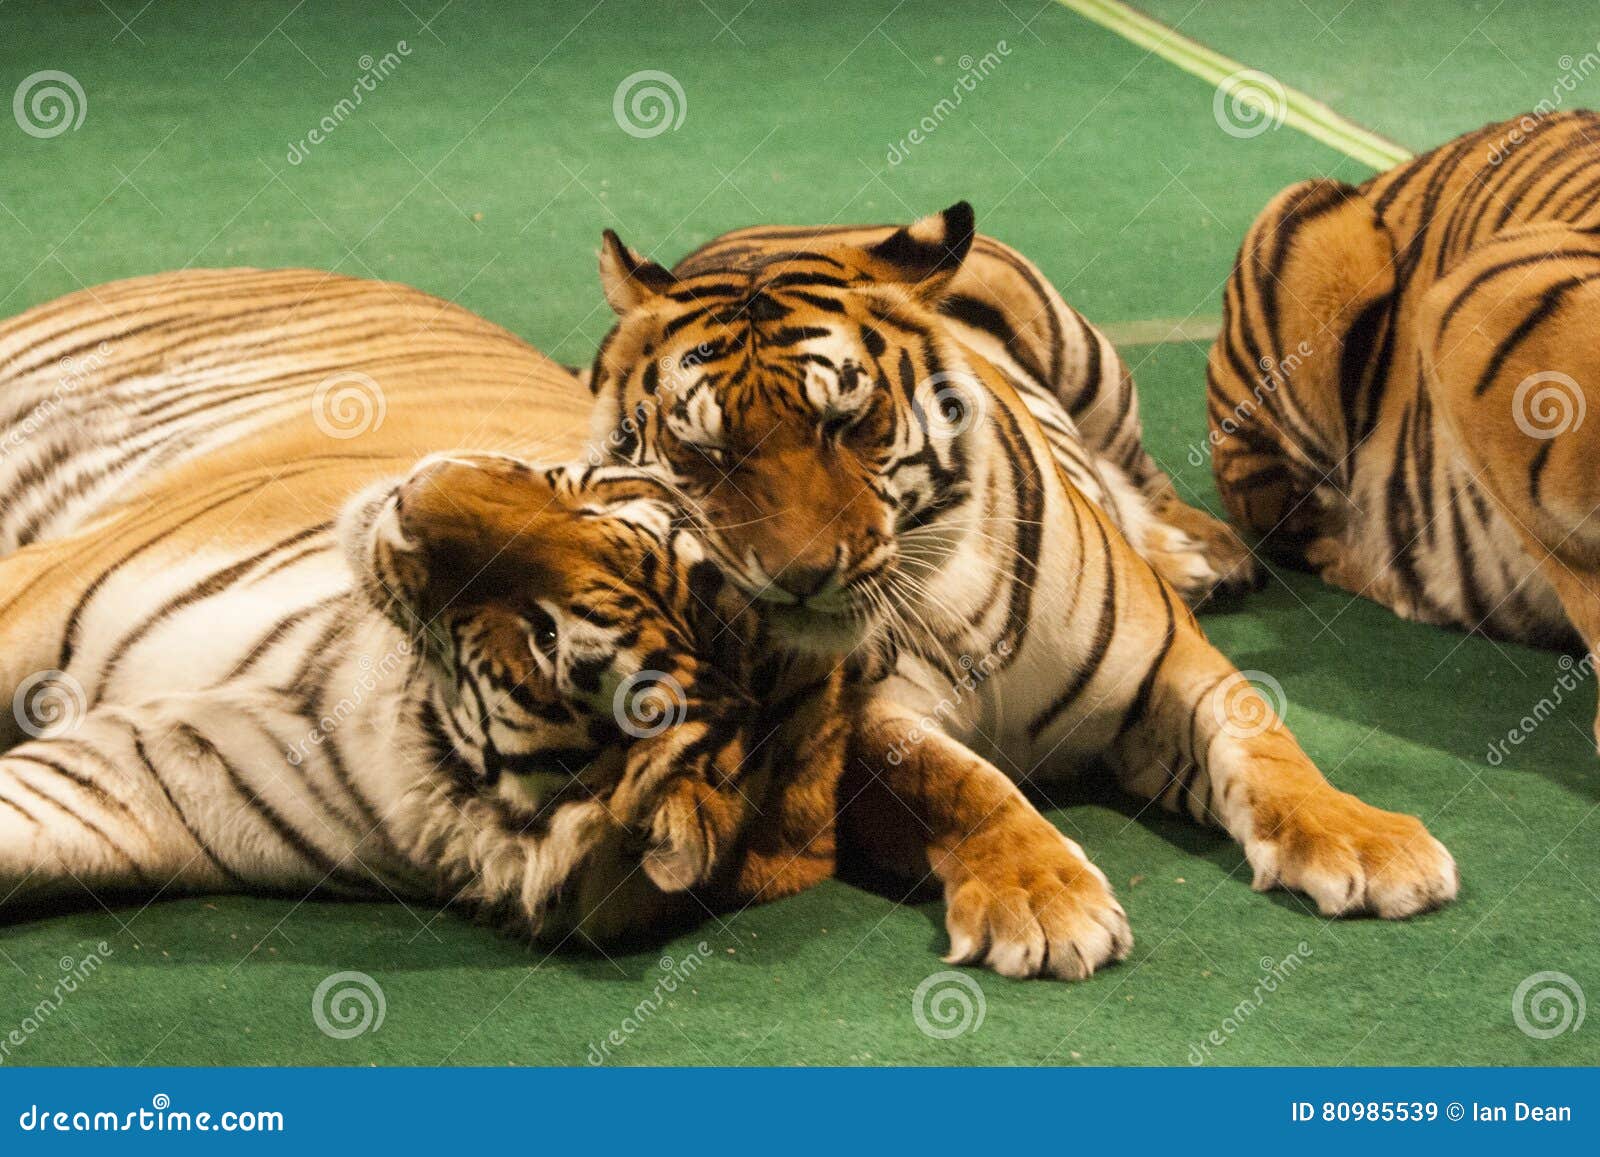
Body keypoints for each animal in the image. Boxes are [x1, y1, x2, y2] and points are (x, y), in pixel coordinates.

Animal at [586, 203, 1461, 978]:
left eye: (849, 422)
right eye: (704, 451)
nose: (800, 575)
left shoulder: (1169, 657)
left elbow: (1264, 743)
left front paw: (1366, 842)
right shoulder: (877, 719)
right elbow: (962, 783)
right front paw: (1043, 903)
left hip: (1088, 366)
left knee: (1136, 469)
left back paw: (1201, 552)